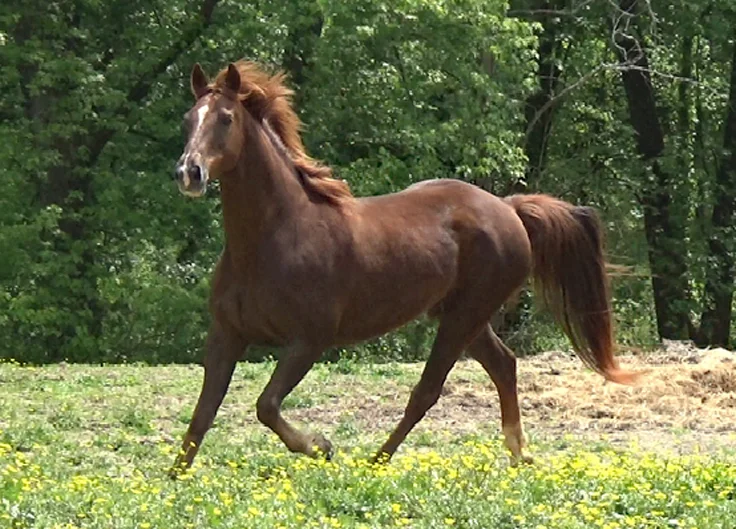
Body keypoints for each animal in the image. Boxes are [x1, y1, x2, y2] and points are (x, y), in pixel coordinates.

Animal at [170, 60, 637, 475]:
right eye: (189, 118)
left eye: (226, 119)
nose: (188, 172)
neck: (271, 239)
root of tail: (508, 208)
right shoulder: (226, 337)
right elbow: (201, 418)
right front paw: (173, 482)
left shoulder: (309, 341)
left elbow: (265, 405)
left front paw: (321, 446)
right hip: (465, 318)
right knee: (504, 365)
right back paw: (518, 456)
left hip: (464, 318)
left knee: (428, 390)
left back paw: (376, 463)